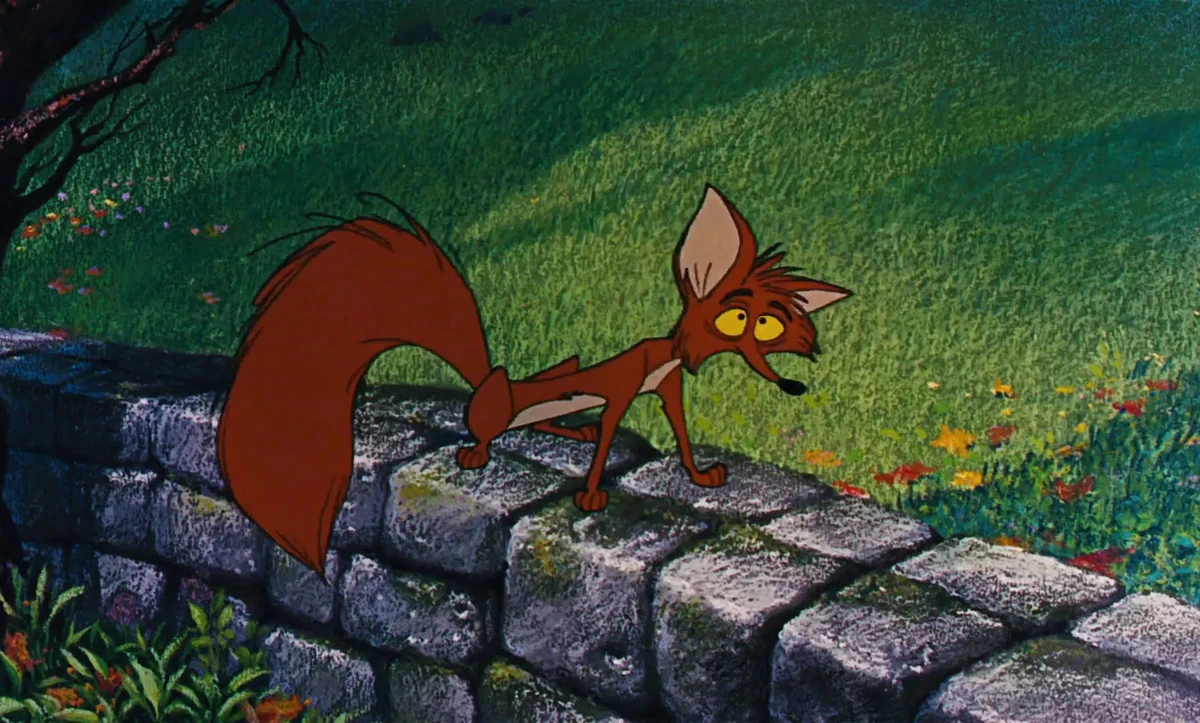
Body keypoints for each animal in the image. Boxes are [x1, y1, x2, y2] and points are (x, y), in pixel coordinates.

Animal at [216, 184, 853, 575]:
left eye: (775, 326)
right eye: (740, 319)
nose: (795, 381)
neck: (668, 356)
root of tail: (485, 385)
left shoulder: (666, 389)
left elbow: (678, 432)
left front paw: (700, 474)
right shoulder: (625, 389)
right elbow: (610, 434)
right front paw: (592, 493)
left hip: (552, 390)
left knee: (554, 420)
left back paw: (567, 433)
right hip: (502, 405)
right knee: (488, 430)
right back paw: (480, 451)